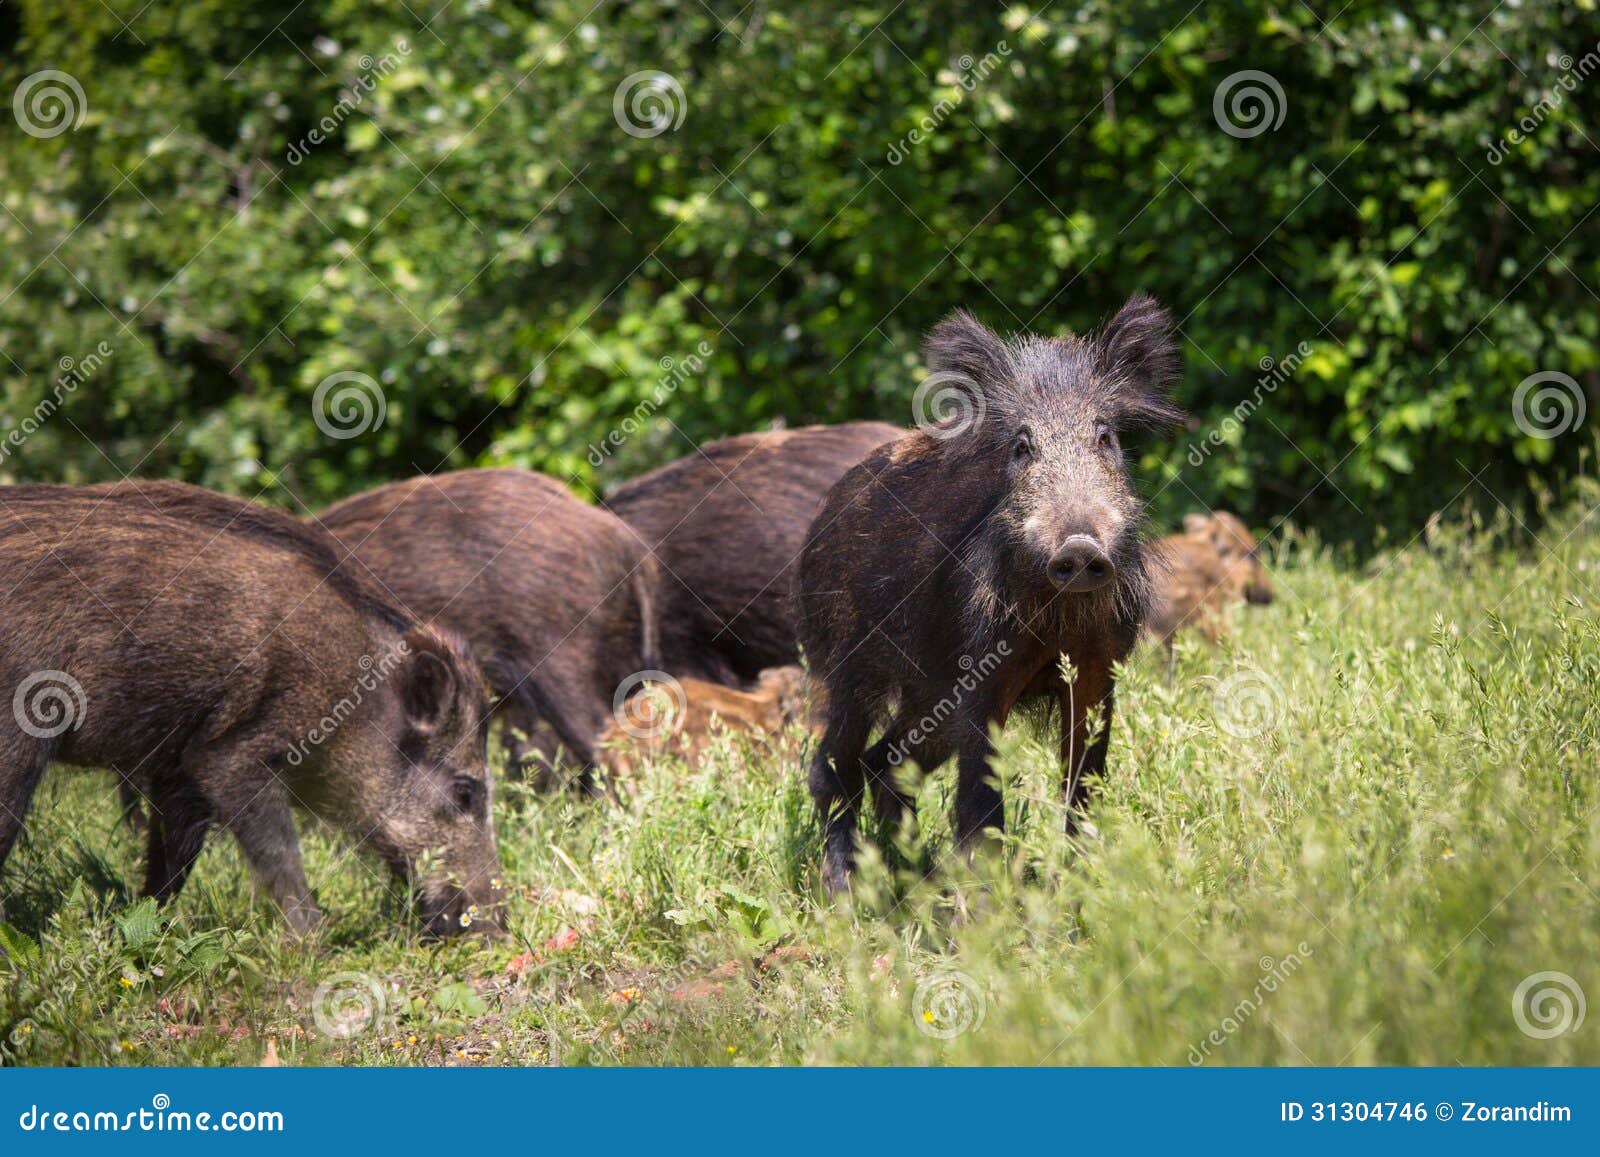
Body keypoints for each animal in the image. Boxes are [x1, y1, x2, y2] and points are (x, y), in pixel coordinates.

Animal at [0, 481, 502, 936]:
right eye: (464, 791)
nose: (496, 927)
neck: (355, 695)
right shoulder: (232, 754)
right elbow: (280, 855)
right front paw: (312, 946)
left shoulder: (180, 769)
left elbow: (174, 859)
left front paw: (148, 930)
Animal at [797, 296, 1183, 892]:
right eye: (1023, 446)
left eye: (1105, 438)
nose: (1079, 546)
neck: (1058, 621)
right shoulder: (980, 677)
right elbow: (981, 807)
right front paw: (988, 905)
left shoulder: (1101, 670)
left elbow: (1083, 790)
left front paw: (1080, 890)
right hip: (847, 662)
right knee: (833, 767)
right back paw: (846, 893)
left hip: (926, 696)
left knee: (888, 765)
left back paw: (915, 879)